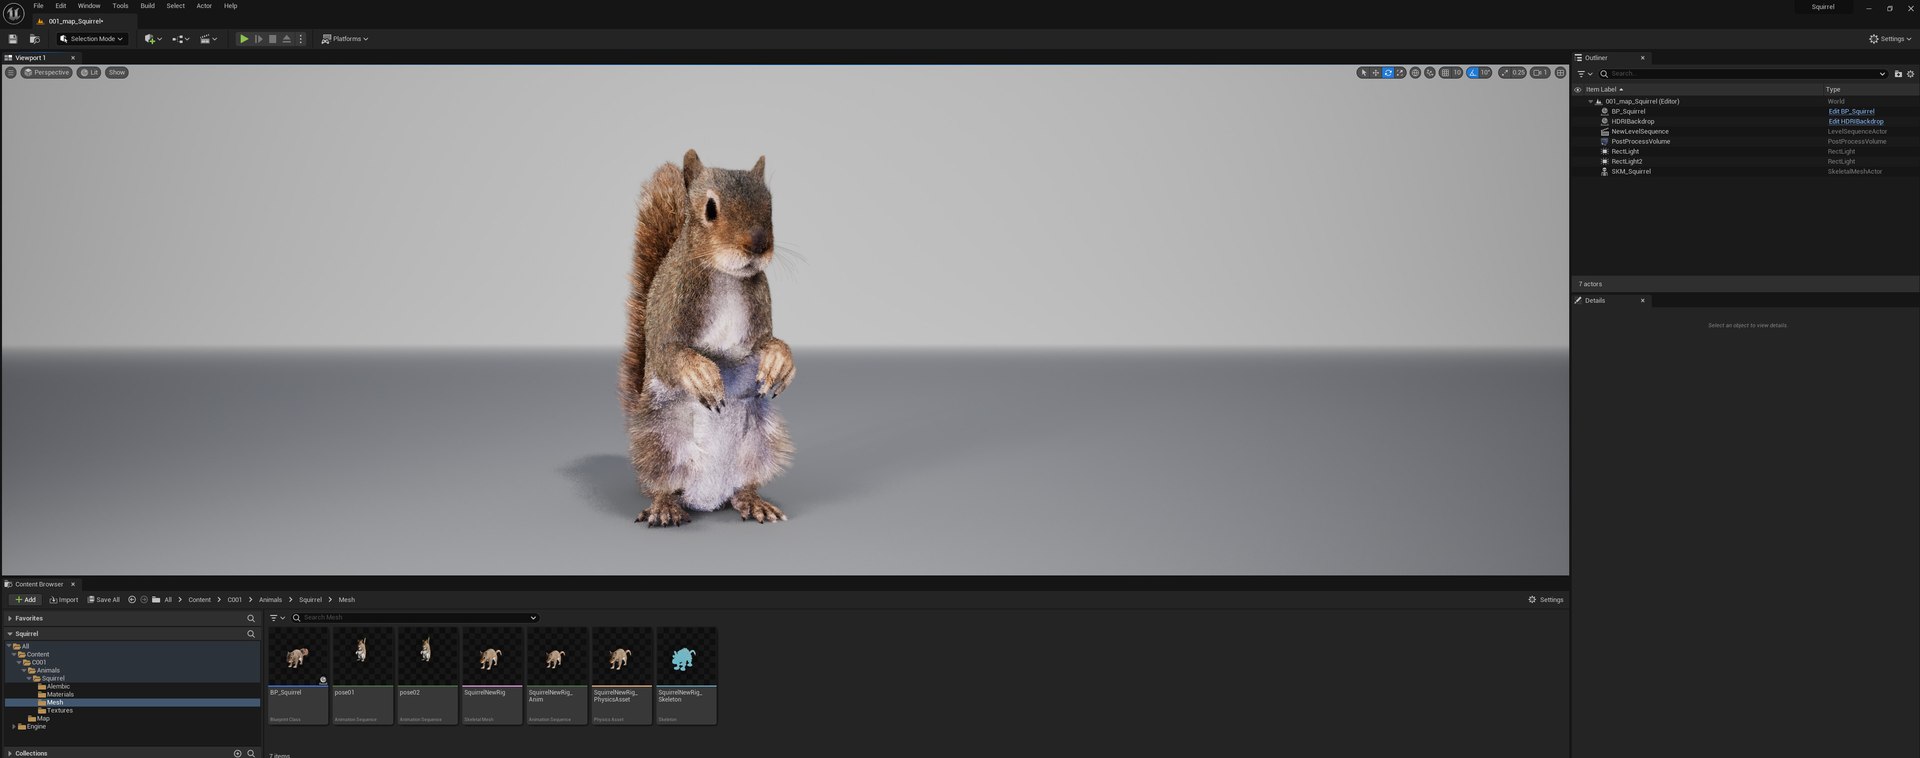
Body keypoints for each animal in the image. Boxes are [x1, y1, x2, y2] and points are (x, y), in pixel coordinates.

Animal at [622, 149, 794, 527]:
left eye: (770, 204)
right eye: (710, 209)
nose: (758, 244)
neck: (725, 276)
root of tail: (706, 496)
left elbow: (765, 343)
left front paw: (780, 359)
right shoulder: (670, 307)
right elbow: (667, 354)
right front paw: (700, 373)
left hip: (760, 443)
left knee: (745, 483)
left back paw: (752, 500)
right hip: (659, 443)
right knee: (662, 483)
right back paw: (665, 506)